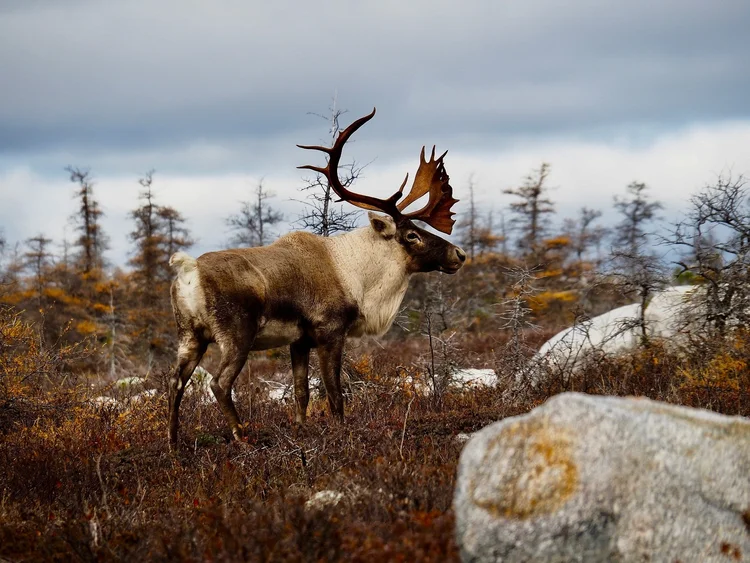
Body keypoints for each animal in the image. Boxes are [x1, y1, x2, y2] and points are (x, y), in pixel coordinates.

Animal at [167, 108, 466, 445]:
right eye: (412, 235)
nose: (459, 254)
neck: (357, 276)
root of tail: (188, 270)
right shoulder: (330, 331)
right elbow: (334, 393)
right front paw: (340, 432)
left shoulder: (299, 341)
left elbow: (301, 392)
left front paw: (300, 430)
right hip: (235, 334)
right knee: (219, 383)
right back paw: (242, 436)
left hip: (189, 334)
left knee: (175, 382)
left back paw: (173, 443)